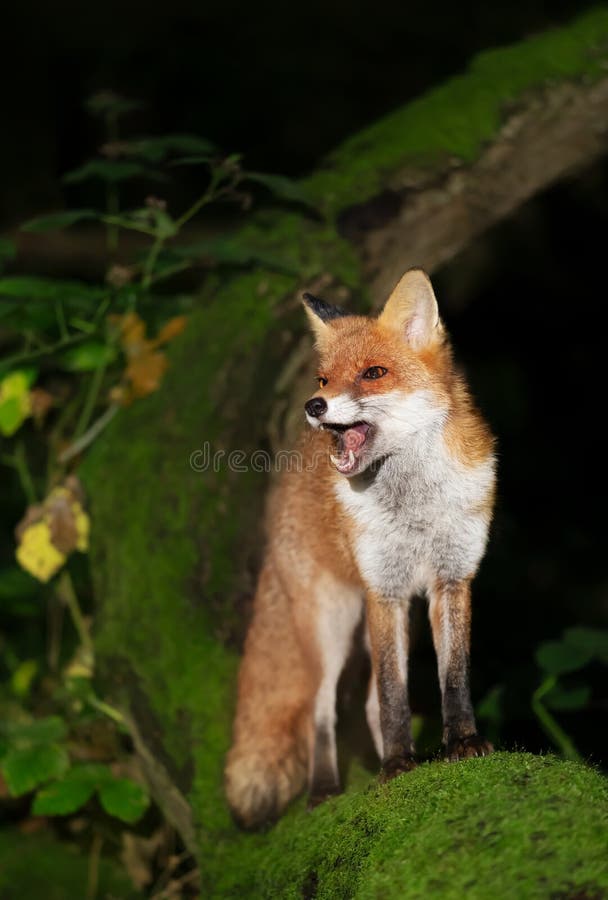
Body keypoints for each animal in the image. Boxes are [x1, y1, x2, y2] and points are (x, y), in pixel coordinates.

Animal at [225, 268, 495, 828]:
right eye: (324, 380)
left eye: (374, 373)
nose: (314, 406)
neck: (415, 508)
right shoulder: (382, 589)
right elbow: (393, 697)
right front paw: (395, 766)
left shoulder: (451, 578)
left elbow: (452, 679)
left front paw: (460, 743)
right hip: (332, 622)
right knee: (321, 710)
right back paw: (325, 788)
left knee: (366, 703)